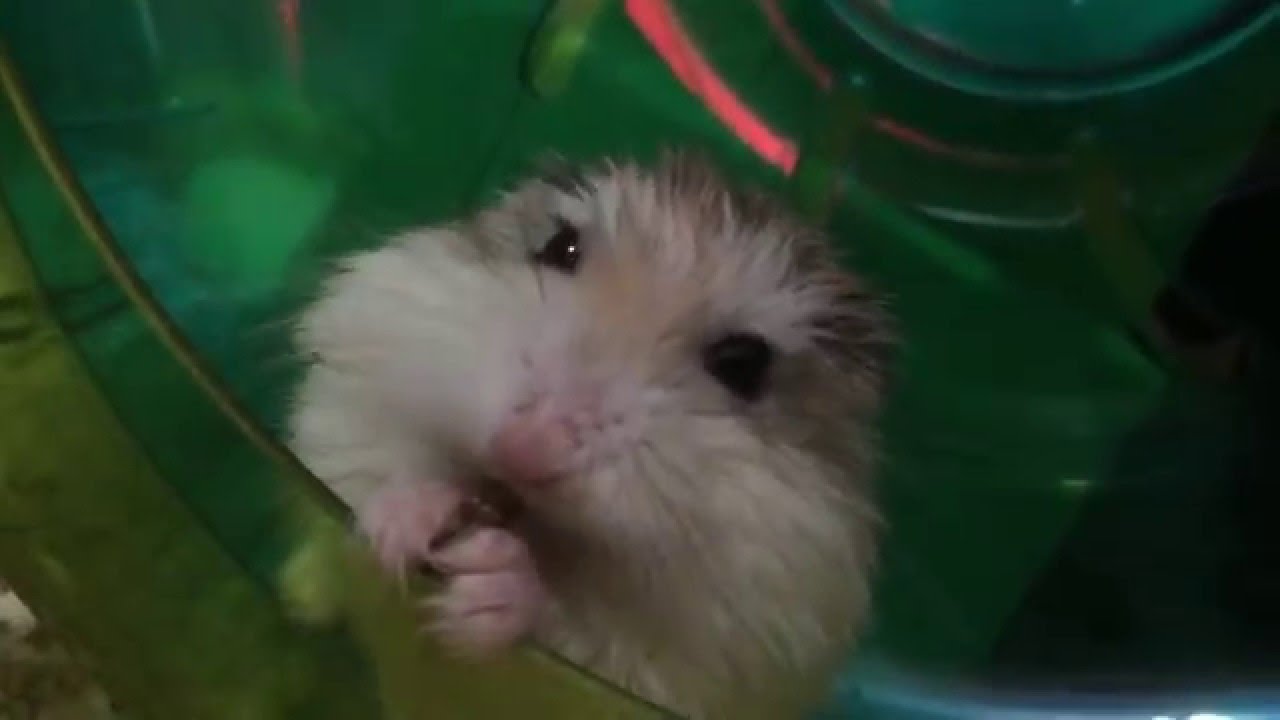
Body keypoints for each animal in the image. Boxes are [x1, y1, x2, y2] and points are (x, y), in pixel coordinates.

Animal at [287, 152, 892, 719]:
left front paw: (492, 578)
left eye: (743, 363)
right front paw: (403, 523)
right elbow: (362, 472)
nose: (522, 446)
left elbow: (583, 643)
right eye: (561, 247)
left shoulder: (701, 667)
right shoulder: (343, 413)